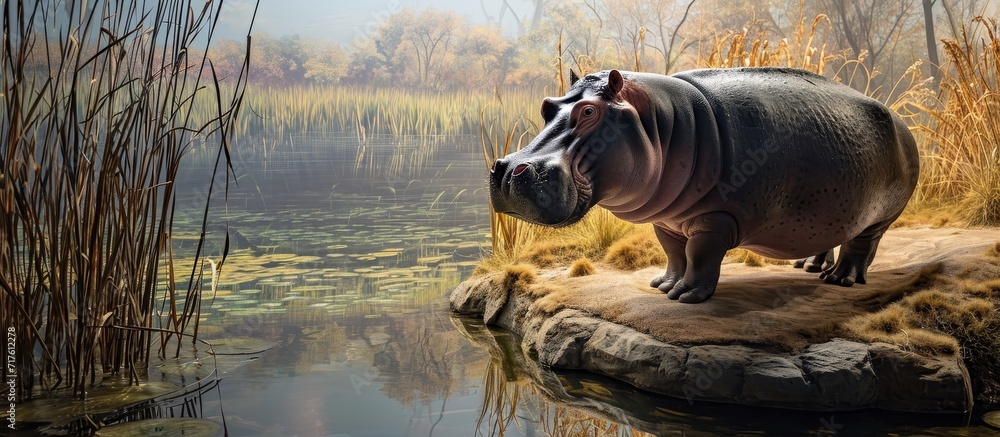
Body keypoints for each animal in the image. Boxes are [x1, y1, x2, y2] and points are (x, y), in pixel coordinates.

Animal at [488, 68, 919, 303]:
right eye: (547, 105)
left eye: (589, 111)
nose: (510, 170)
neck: (664, 123)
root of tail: (900, 120)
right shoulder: (666, 220)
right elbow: (673, 253)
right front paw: (662, 284)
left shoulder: (716, 218)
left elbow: (699, 255)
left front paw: (684, 297)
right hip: (831, 210)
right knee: (831, 236)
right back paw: (809, 267)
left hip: (878, 217)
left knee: (861, 246)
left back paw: (840, 280)